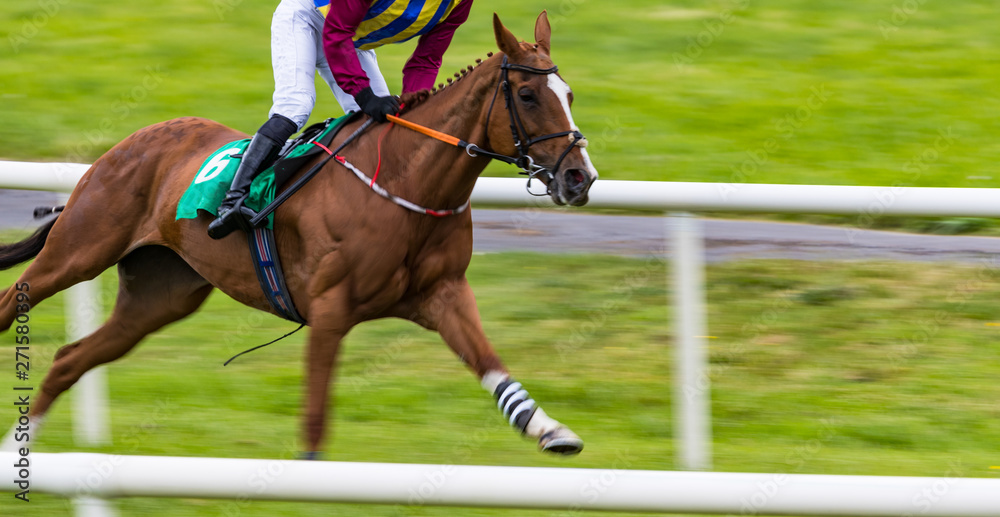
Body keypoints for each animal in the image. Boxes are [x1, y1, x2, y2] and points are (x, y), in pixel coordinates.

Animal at [0, 11, 597, 457]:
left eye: (569, 93)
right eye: (527, 95)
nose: (579, 177)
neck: (406, 183)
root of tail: (126, 143)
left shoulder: (442, 293)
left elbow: (492, 365)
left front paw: (550, 430)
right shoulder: (330, 311)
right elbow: (313, 423)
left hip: (159, 296)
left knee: (68, 359)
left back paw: (19, 449)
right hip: (80, 250)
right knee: (14, 300)